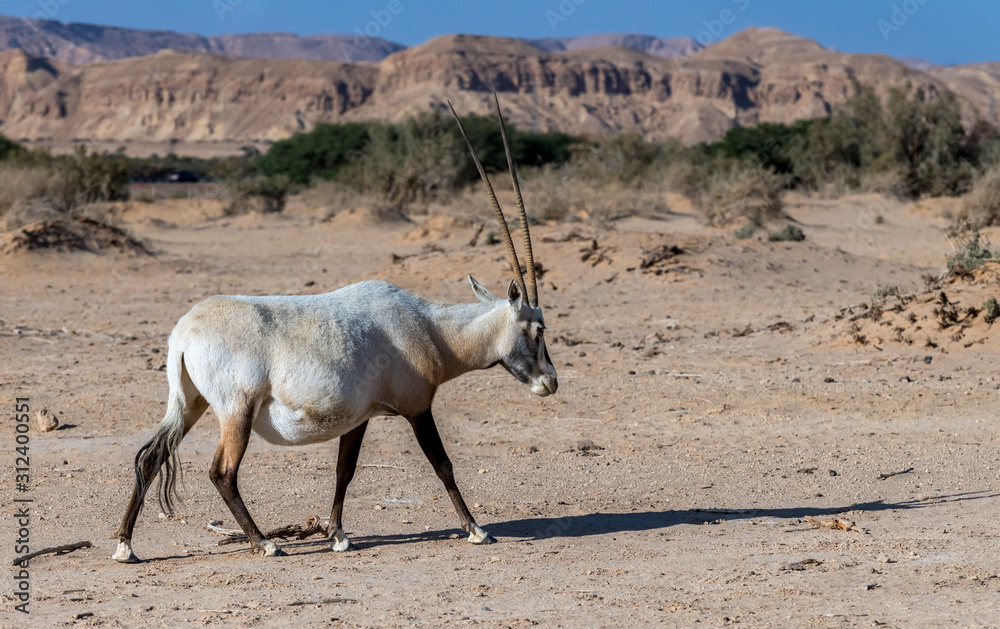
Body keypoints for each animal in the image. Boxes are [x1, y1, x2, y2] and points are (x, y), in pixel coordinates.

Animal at [112, 96, 558, 562]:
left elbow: (345, 470)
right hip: (237, 410)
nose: (550, 382)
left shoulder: (360, 417)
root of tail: (184, 333)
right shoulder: (417, 407)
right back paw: (265, 543)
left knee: (151, 458)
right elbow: (443, 465)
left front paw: (339, 535)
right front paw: (476, 529)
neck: (430, 329)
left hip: (191, 404)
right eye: (539, 329)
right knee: (222, 472)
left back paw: (125, 546)